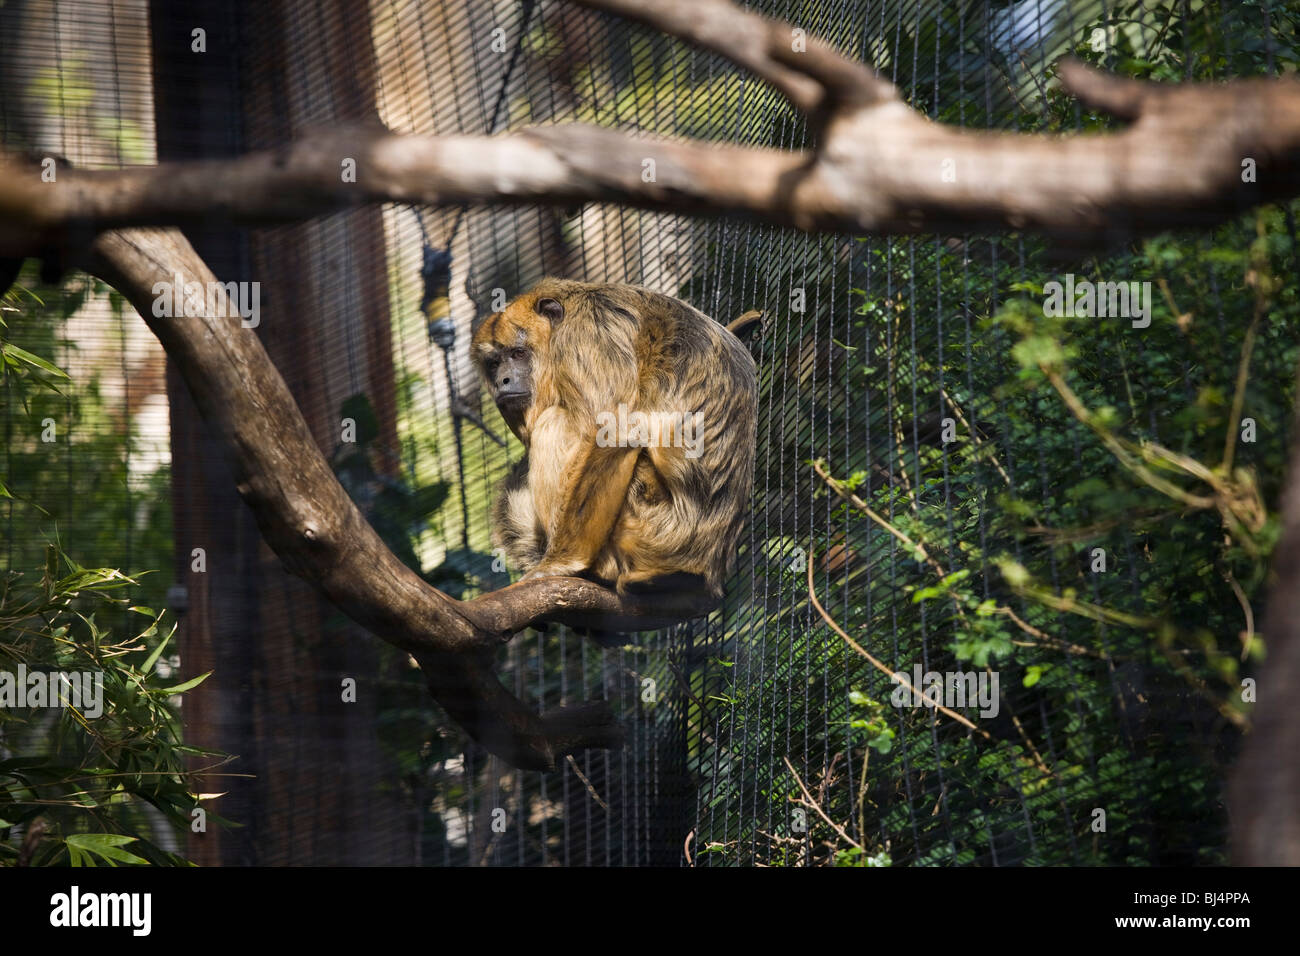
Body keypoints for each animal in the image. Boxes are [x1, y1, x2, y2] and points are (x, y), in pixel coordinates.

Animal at [470, 278, 757, 599]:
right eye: (494, 363)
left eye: (518, 353)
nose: (503, 381)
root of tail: (707, 562)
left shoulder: (587, 334)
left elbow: (610, 430)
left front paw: (560, 563)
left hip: (650, 522)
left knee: (554, 422)